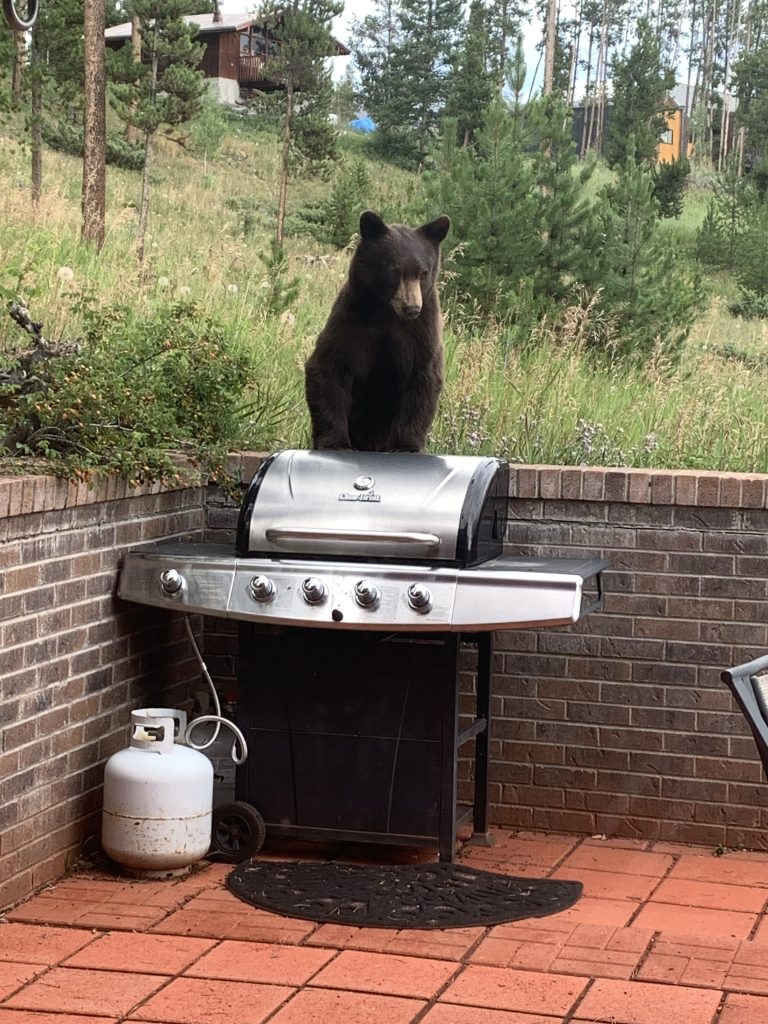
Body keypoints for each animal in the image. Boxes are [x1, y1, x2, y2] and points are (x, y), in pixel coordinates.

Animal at [304, 210, 451, 452]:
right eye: (394, 270)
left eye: (423, 273)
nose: (412, 307)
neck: (386, 313)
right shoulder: (350, 322)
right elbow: (329, 368)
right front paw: (335, 442)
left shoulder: (422, 333)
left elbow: (424, 376)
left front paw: (405, 445)